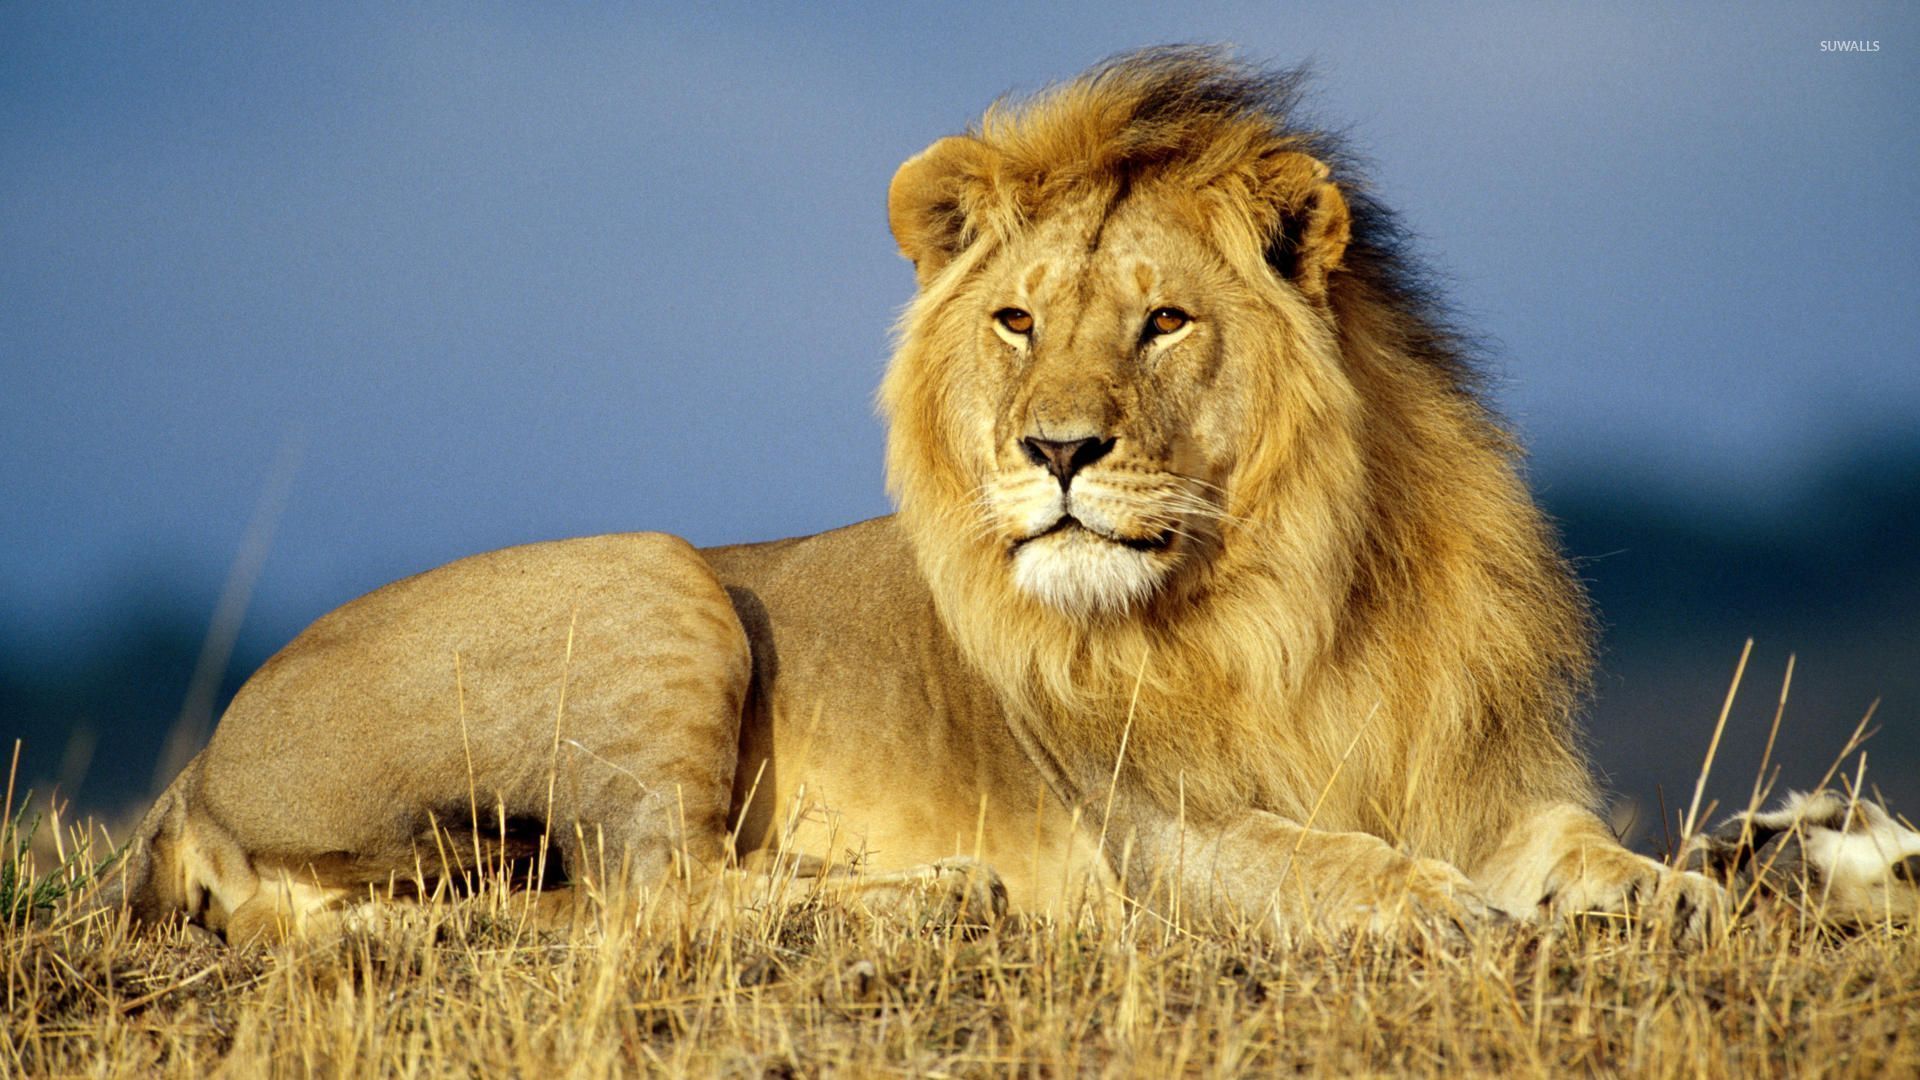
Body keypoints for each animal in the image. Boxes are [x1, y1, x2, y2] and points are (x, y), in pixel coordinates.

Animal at [111, 48, 1909, 945]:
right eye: (1019, 322)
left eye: (1163, 321)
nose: (1055, 452)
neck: (1298, 596)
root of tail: (195, 775)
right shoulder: (1154, 837)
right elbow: (1338, 869)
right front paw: (1453, 915)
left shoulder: (1488, 780)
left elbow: (1595, 855)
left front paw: (1705, 885)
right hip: (658, 580)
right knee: (653, 891)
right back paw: (936, 895)